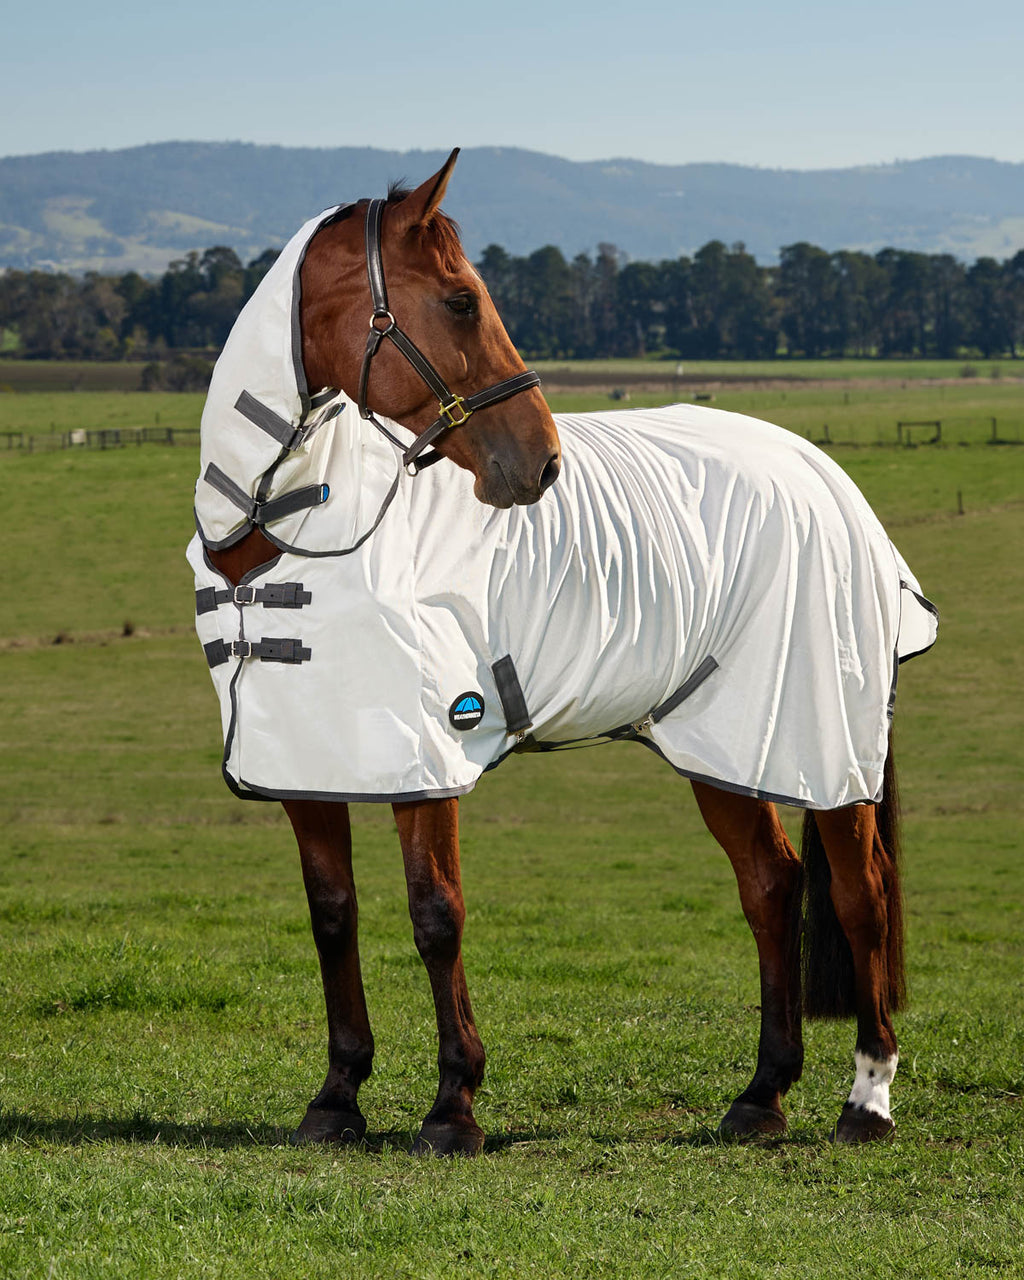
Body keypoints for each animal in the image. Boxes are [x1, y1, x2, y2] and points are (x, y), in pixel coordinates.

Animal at [194, 149, 935, 1156]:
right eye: (460, 300)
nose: (542, 462)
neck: (285, 533)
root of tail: (820, 470)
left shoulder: (429, 753)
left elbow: (436, 915)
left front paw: (453, 1104)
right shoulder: (310, 762)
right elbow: (332, 916)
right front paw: (337, 1096)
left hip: (825, 745)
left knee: (861, 897)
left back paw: (866, 1101)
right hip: (726, 741)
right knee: (772, 887)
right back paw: (761, 1095)